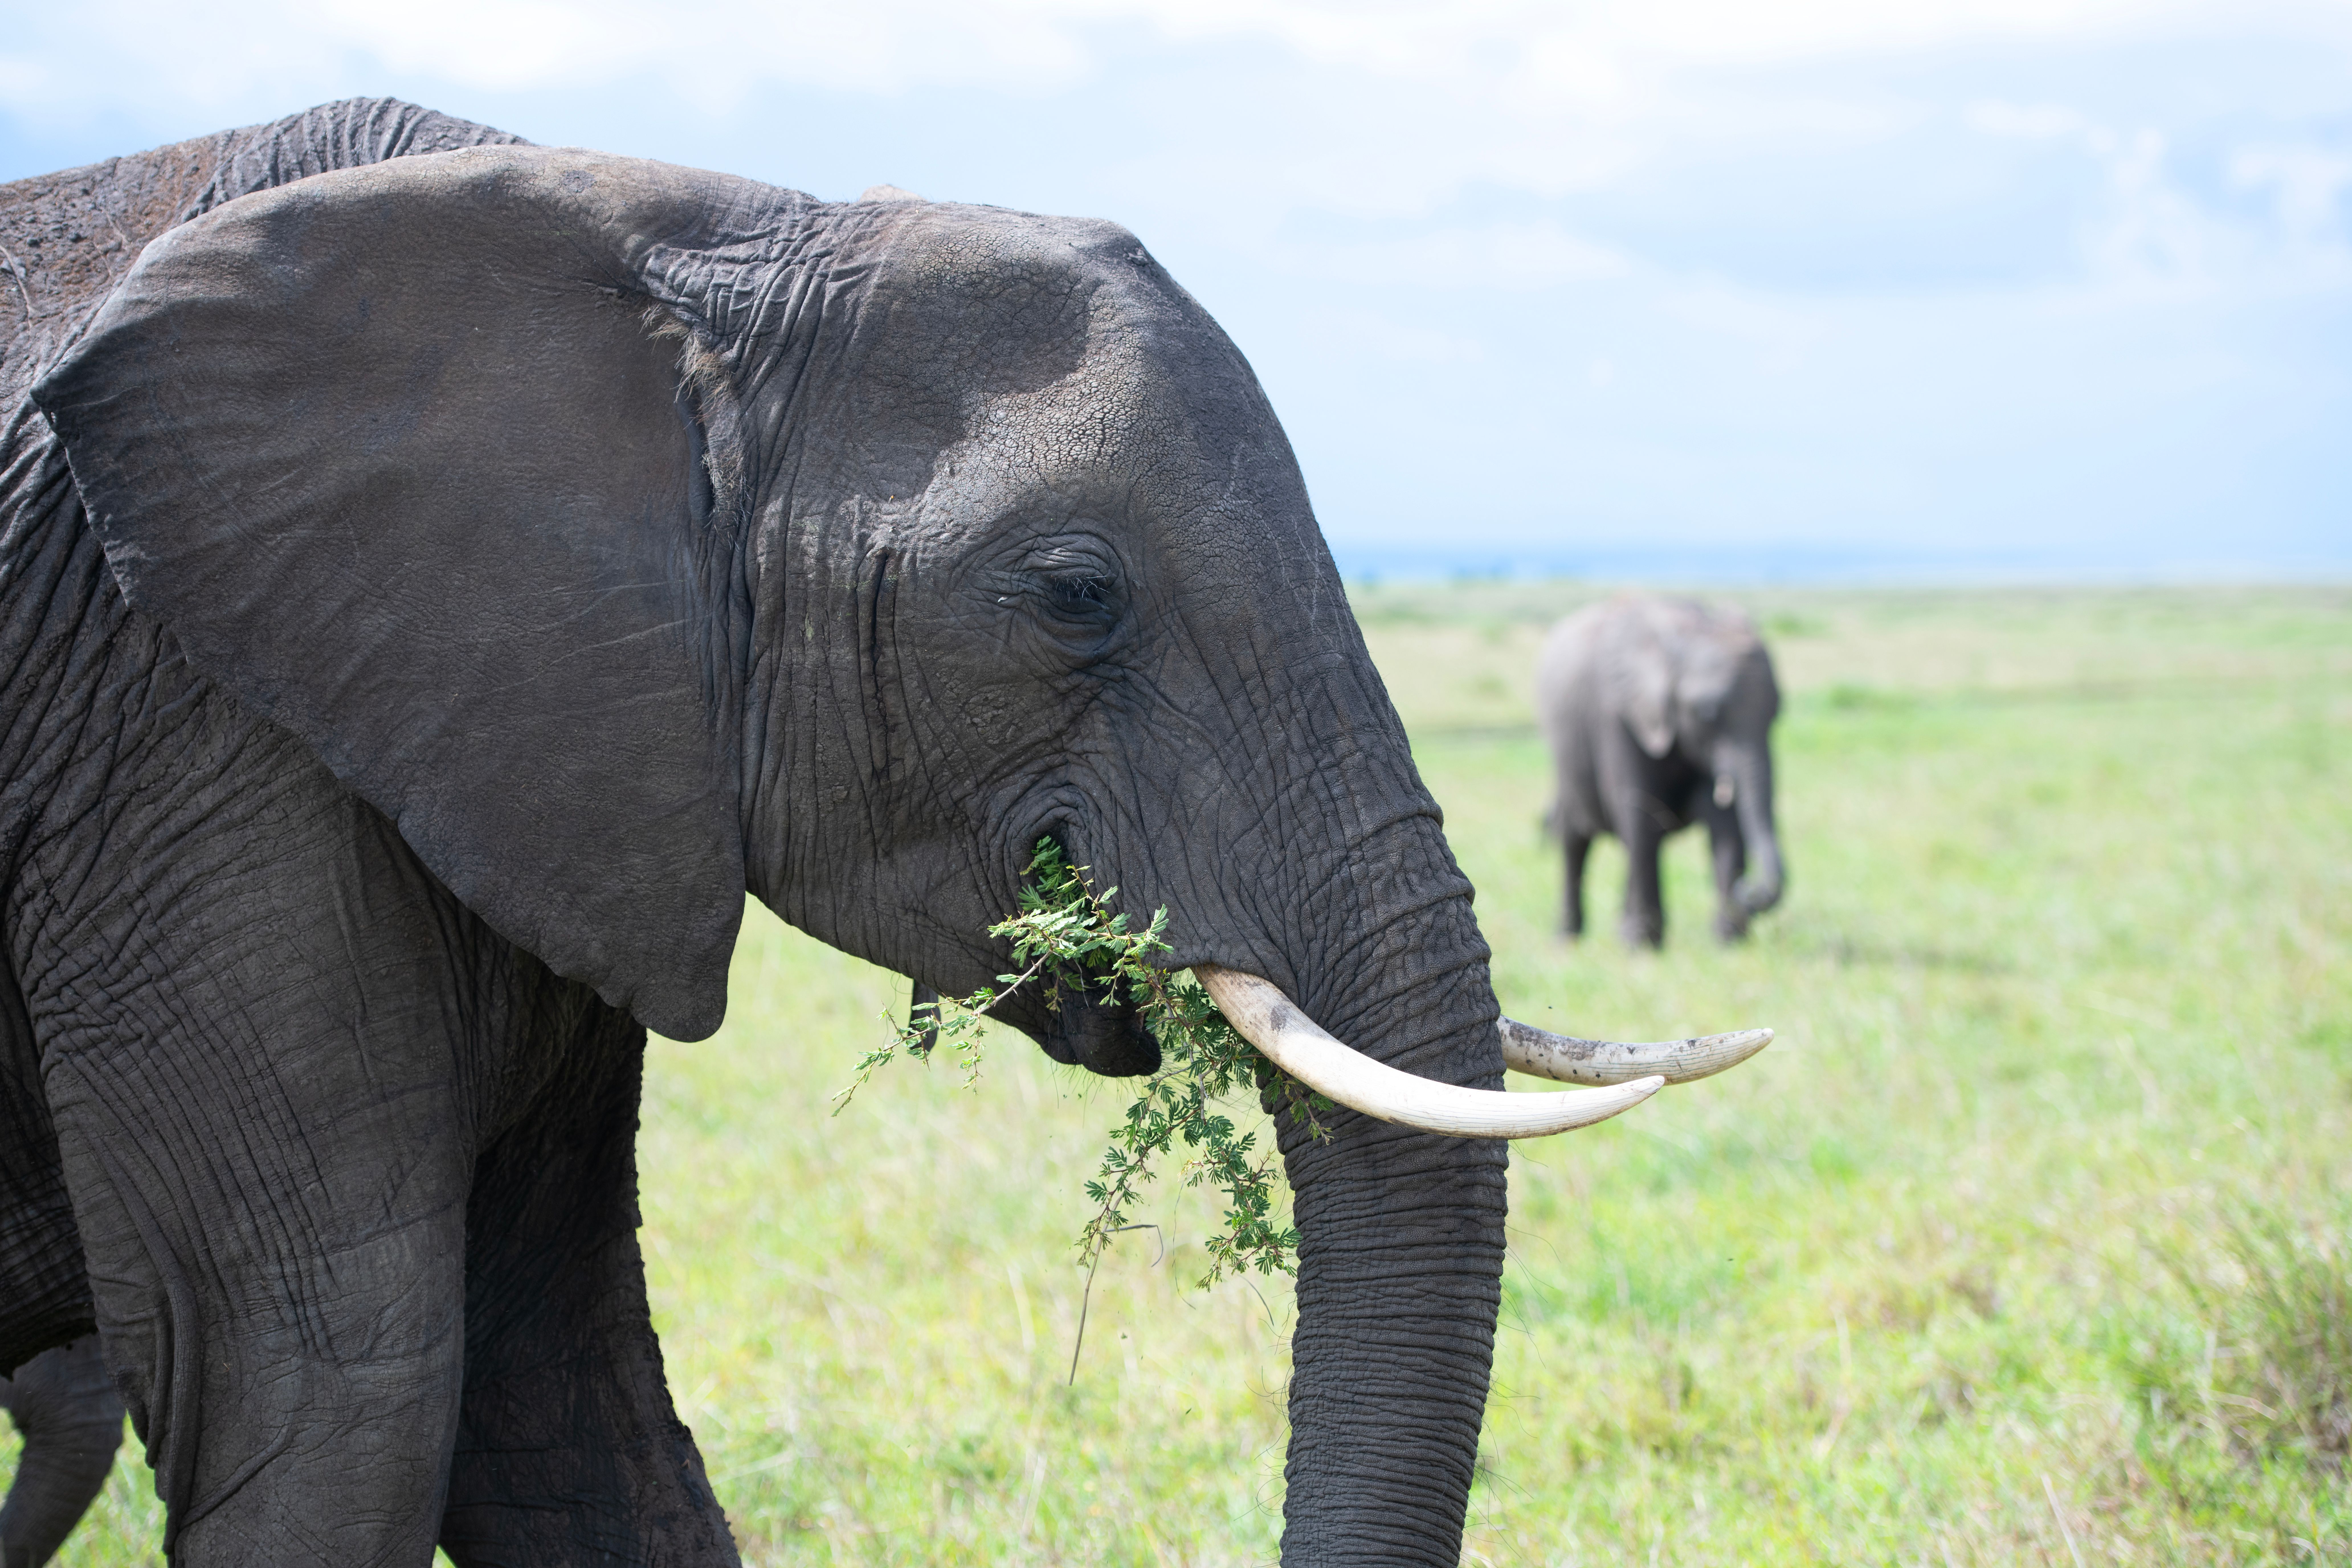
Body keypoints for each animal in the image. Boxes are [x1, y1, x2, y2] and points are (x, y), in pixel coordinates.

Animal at [1537, 594, 1787, 947]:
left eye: (1777, 711)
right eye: (1707, 714)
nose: (1748, 890)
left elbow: (1726, 823)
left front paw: (1729, 941)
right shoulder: (1618, 715)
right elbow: (1641, 815)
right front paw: (1641, 946)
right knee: (1574, 836)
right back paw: (1568, 940)